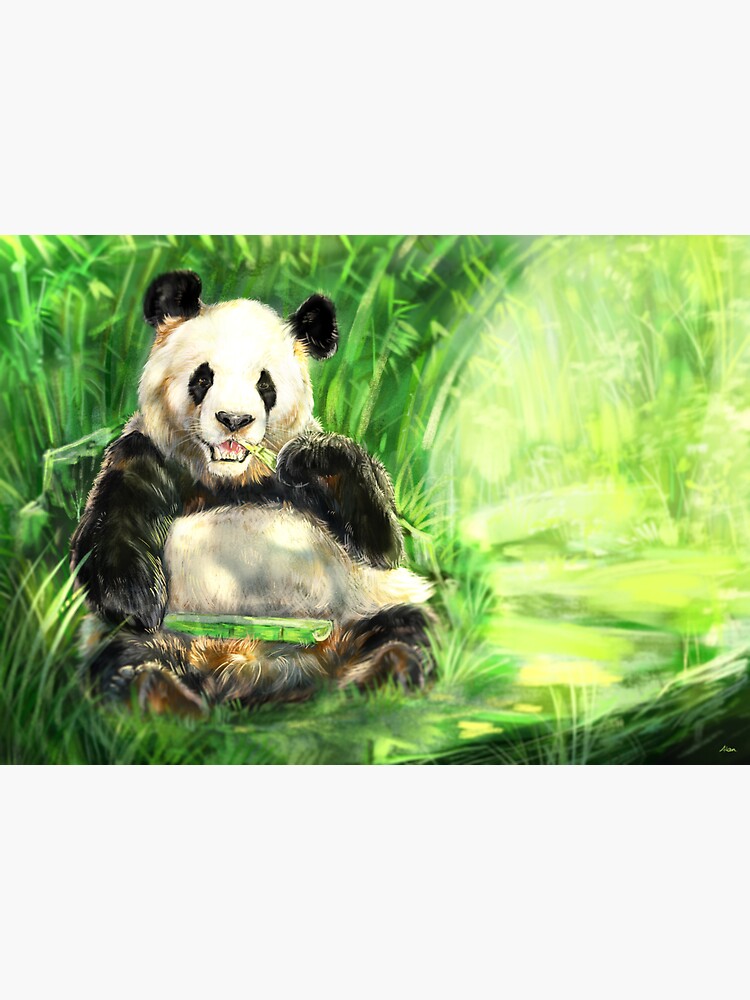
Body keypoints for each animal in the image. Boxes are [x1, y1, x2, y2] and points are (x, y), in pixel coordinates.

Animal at [71, 270, 434, 715]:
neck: (232, 482)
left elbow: (382, 544)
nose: (234, 420)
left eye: (265, 384)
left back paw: (389, 671)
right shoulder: (143, 452)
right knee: (123, 650)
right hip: (165, 635)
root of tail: (254, 671)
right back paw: (154, 692)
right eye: (203, 377)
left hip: (360, 606)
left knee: (405, 627)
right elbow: (109, 527)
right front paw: (136, 599)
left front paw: (309, 458)